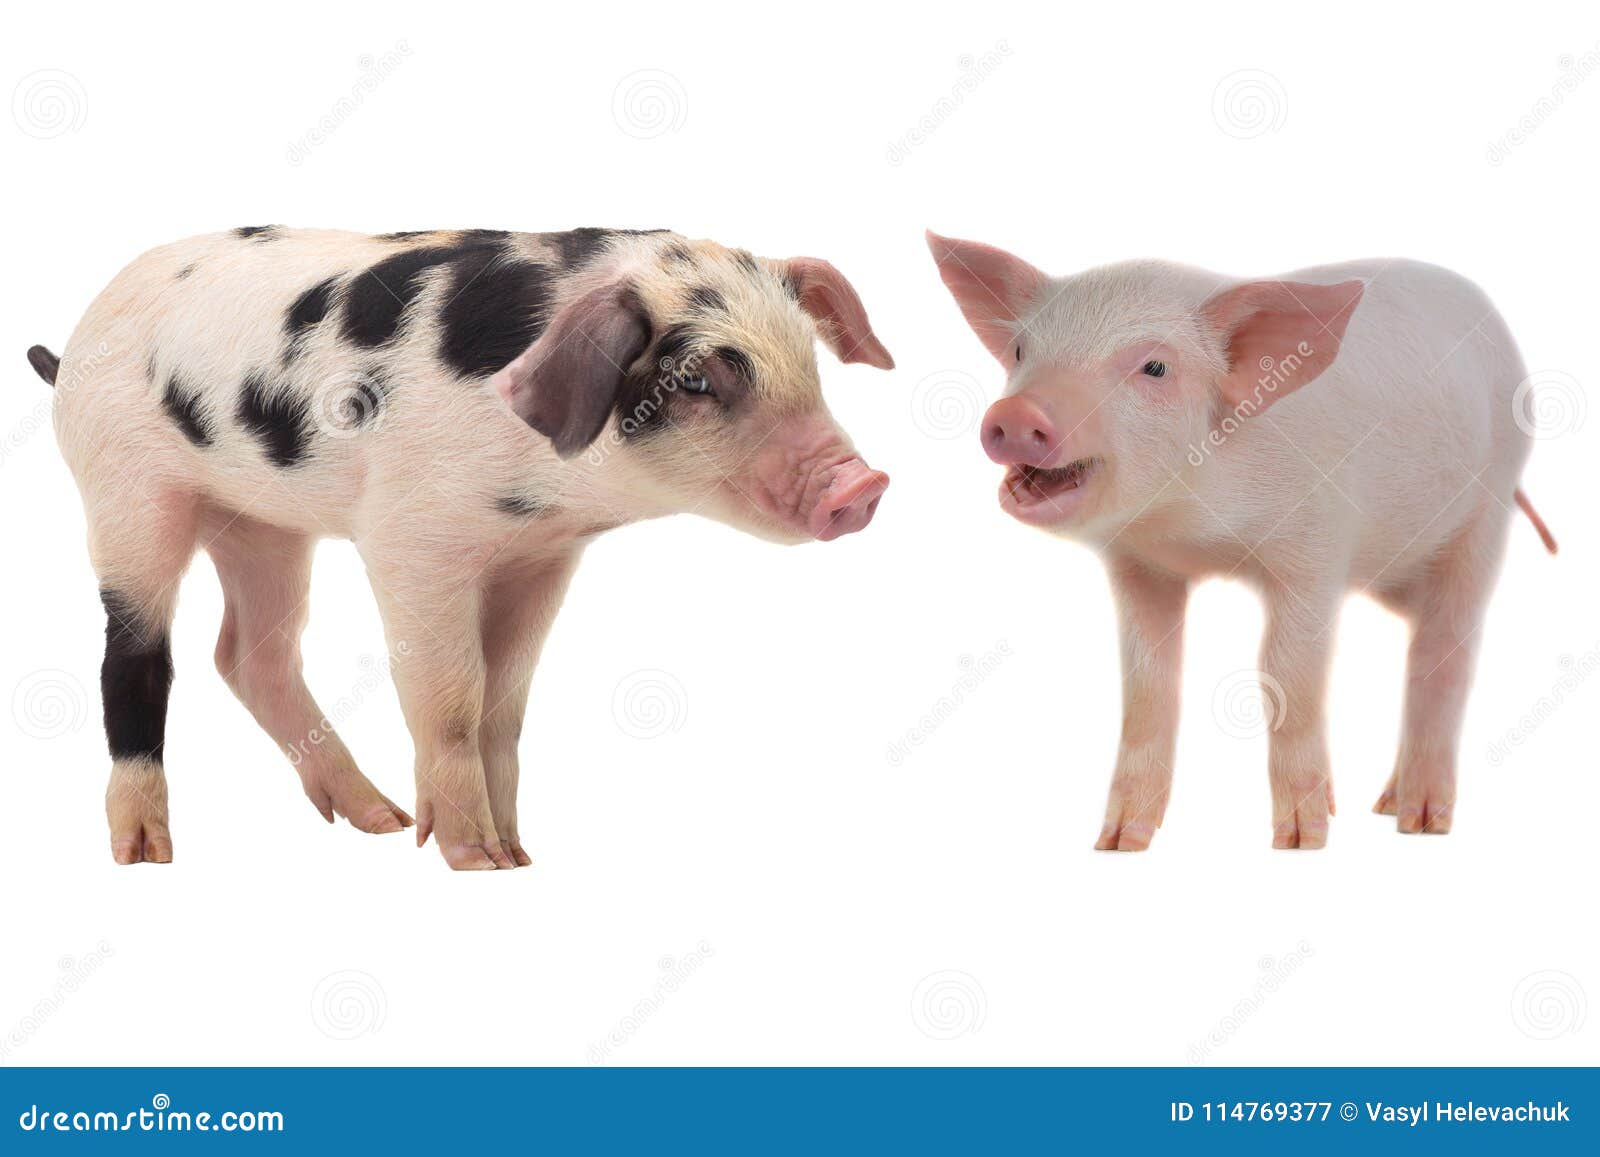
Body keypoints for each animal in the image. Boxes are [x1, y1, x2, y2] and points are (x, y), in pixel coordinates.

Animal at [32, 225, 893, 869]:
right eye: (694, 380)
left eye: (809, 364)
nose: (863, 483)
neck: (552, 495)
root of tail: (77, 339)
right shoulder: (411, 538)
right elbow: (451, 699)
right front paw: (471, 859)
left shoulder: (541, 555)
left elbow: (502, 707)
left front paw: (517, 855)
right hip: (124, 489)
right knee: (136, 654)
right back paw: (147, 851)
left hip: (263, 522)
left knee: (247, 654)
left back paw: (374, 818)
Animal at [927, 231, 1556, 850]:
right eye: (1020, 352)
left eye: (1154, 367)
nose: (1016, 413)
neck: (1193, 529)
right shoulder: (1139, 565)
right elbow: (1147, 682)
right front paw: (1119, 841)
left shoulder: (1316, 547)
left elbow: (1287, 673)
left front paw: (1302, 840)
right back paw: (1384, 804)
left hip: (1488, 509)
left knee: (1444, 655)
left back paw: (1420, 823)